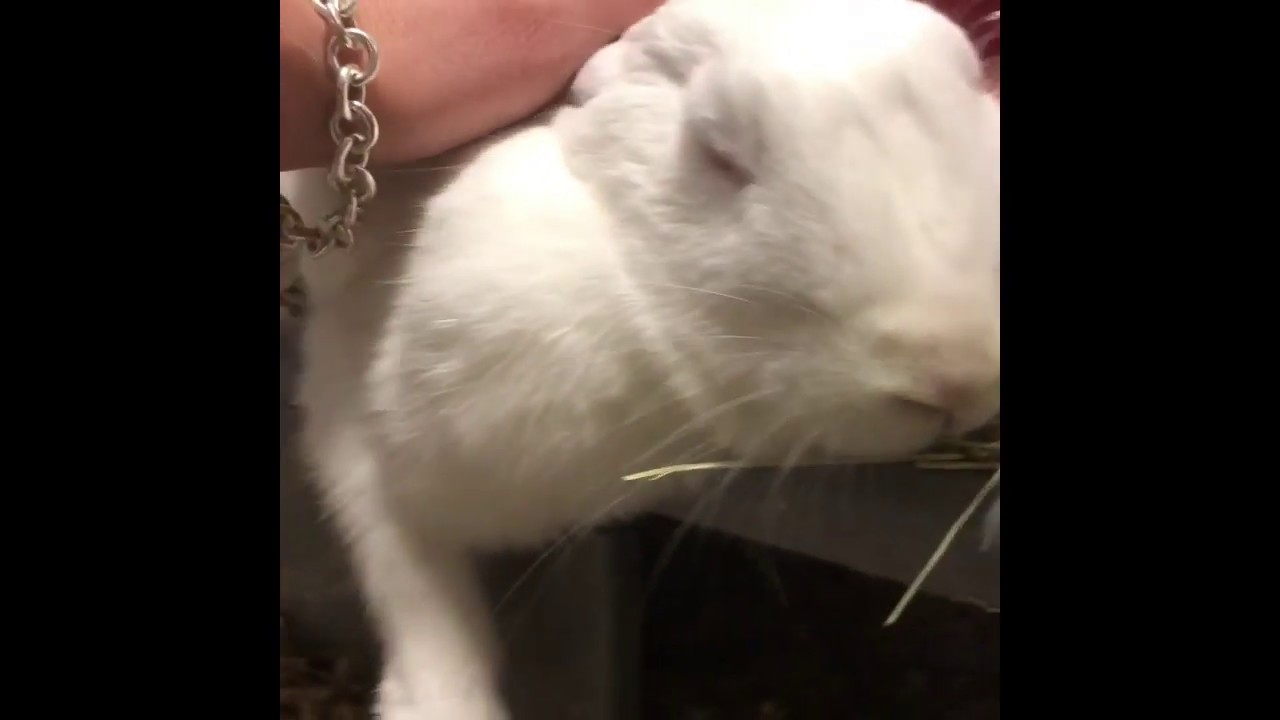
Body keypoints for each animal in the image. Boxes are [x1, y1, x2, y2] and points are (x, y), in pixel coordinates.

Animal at [283, 0, 1000, 717]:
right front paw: (441, 699)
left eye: (971, 79)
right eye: (718, 154)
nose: (957, 373)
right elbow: (409, 572)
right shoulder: (359, 405)